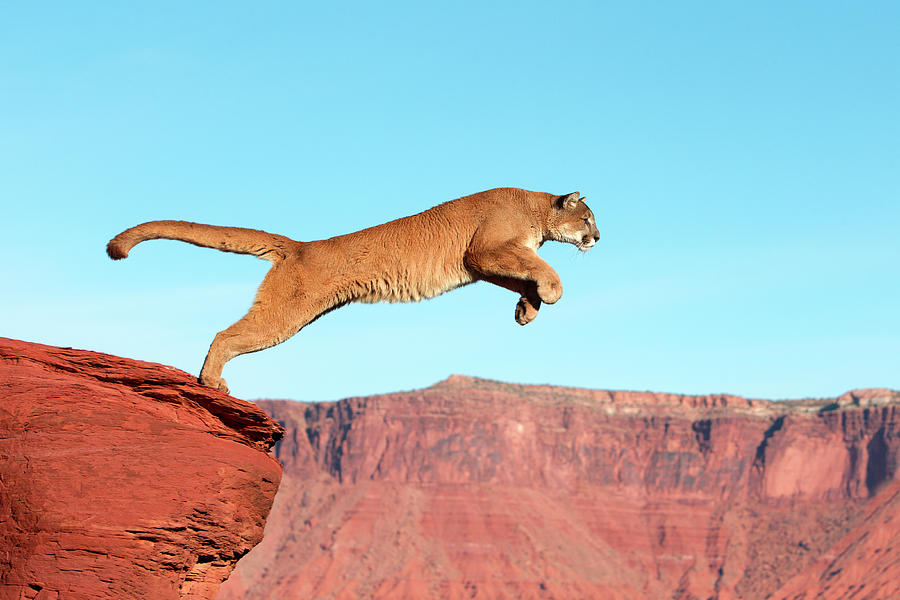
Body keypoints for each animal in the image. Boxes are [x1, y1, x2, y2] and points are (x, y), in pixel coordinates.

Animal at [107, 187, 600, 392]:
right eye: (588, 218)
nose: (598, 237)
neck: (535, 208)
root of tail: (301, 246)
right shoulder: (485, 249)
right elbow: (543, 267)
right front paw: (550, 293)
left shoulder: (481, 262)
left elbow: (524, 273)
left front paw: (527, 308)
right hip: (284, 316)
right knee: (224, 335)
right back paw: (212, 381)